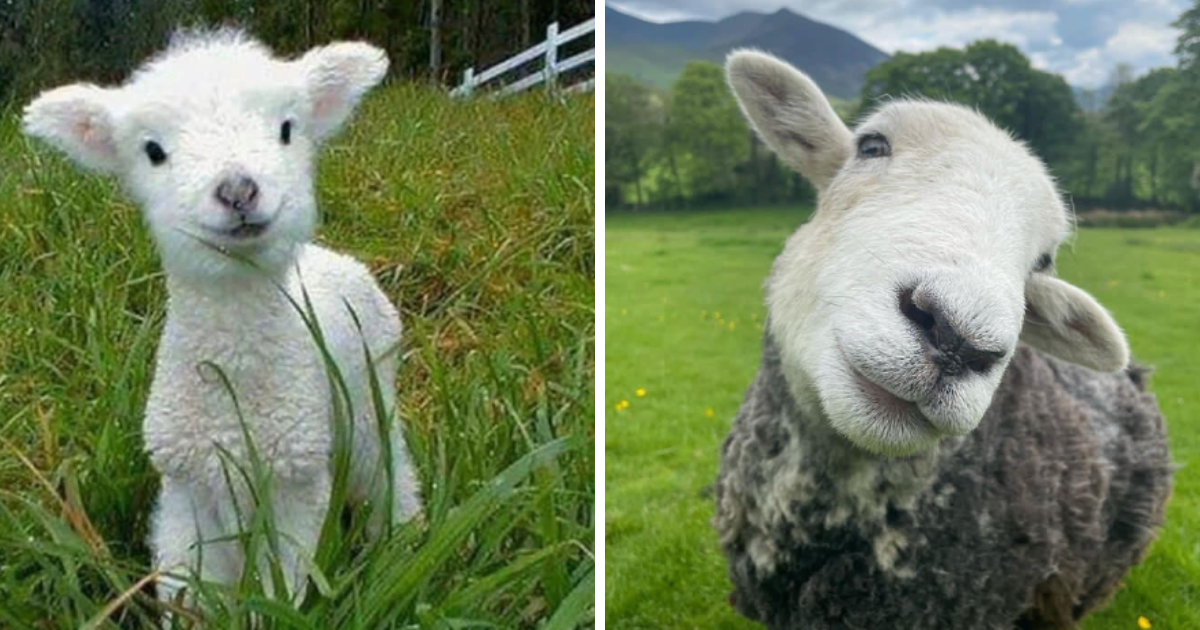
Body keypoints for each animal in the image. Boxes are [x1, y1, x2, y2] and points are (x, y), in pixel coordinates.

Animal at [22, 29, 422, 605]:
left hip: (371, 394)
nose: (238, 190)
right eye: (153, 151)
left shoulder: (294, 481)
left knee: (389, 473)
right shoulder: (187, 486)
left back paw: (404, 542)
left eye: (287, 128)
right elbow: (188, 589)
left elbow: (282, 591)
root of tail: (327, 255)